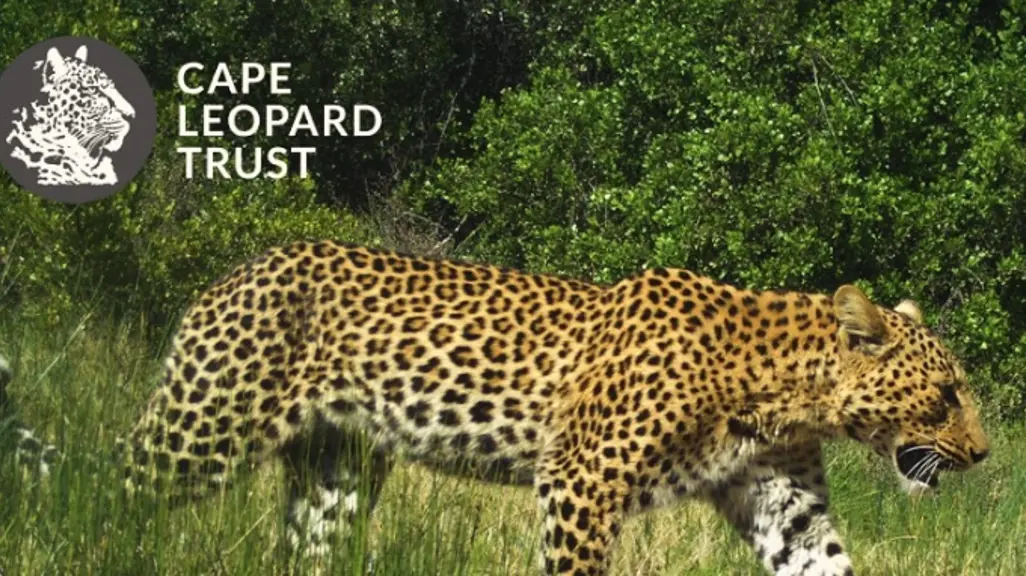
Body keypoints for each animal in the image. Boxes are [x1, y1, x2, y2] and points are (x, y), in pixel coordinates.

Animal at [114, 239, 989, 576]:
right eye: (947, 395)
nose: (984, 454)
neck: (786, 391)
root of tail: (240, 267)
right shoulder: (583, 480)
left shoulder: (786, 504)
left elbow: (827, 560)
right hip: (206, 427)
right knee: (117, 484)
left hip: (338, 469)